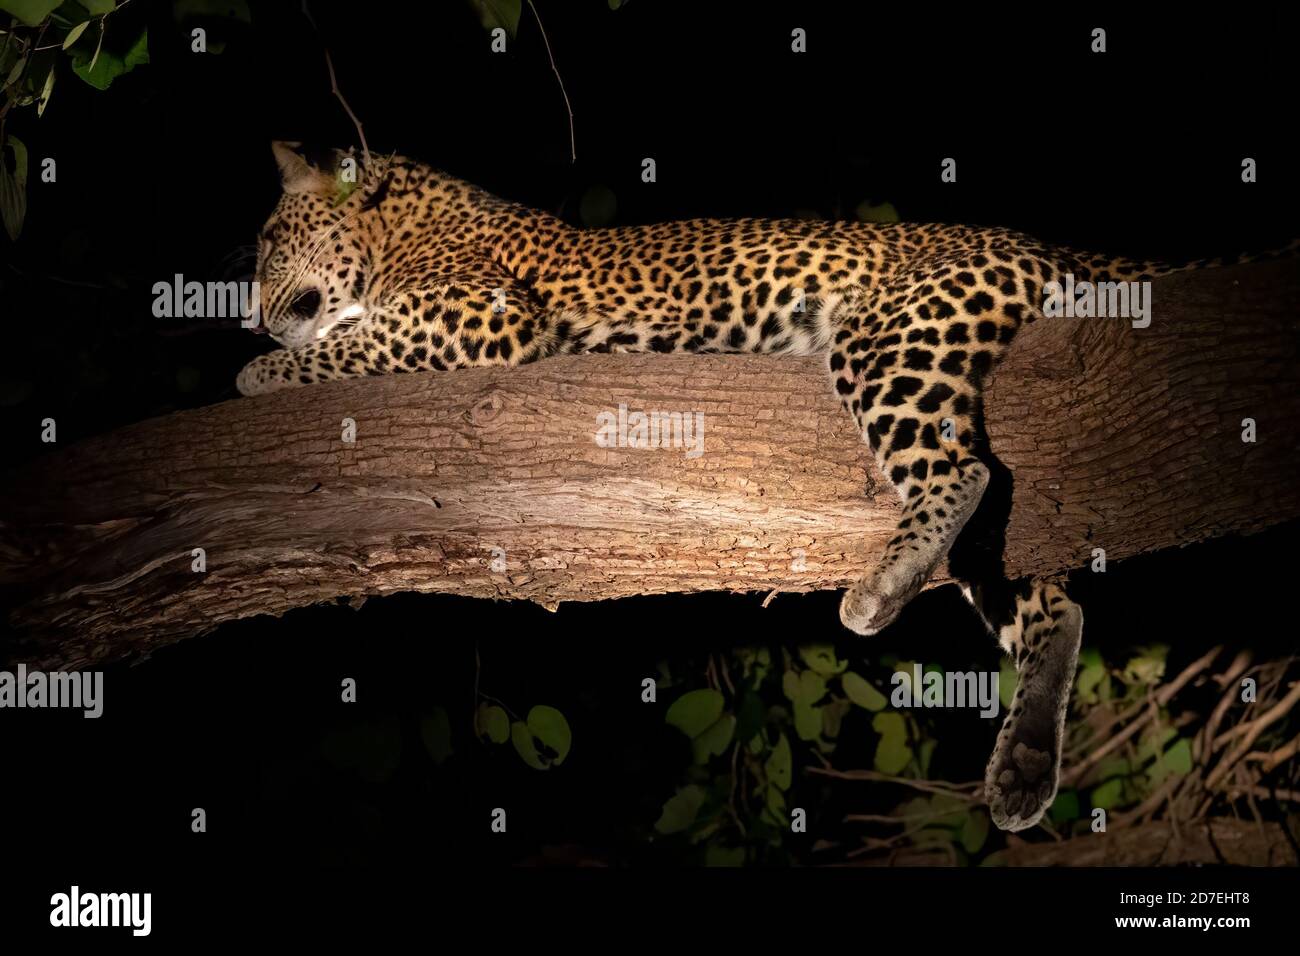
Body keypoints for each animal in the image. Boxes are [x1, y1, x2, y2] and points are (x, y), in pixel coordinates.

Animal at [238, 141, 1264, 832]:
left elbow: (343, 346)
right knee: (1051, 601)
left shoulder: (477, 317)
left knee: (965, 471)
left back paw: (885, 585)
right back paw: (1024, 764)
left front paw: (255, 373)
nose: (248, 312)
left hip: (895, 334)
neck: (403, 225)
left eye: (269, 242)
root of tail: (1041, 242)